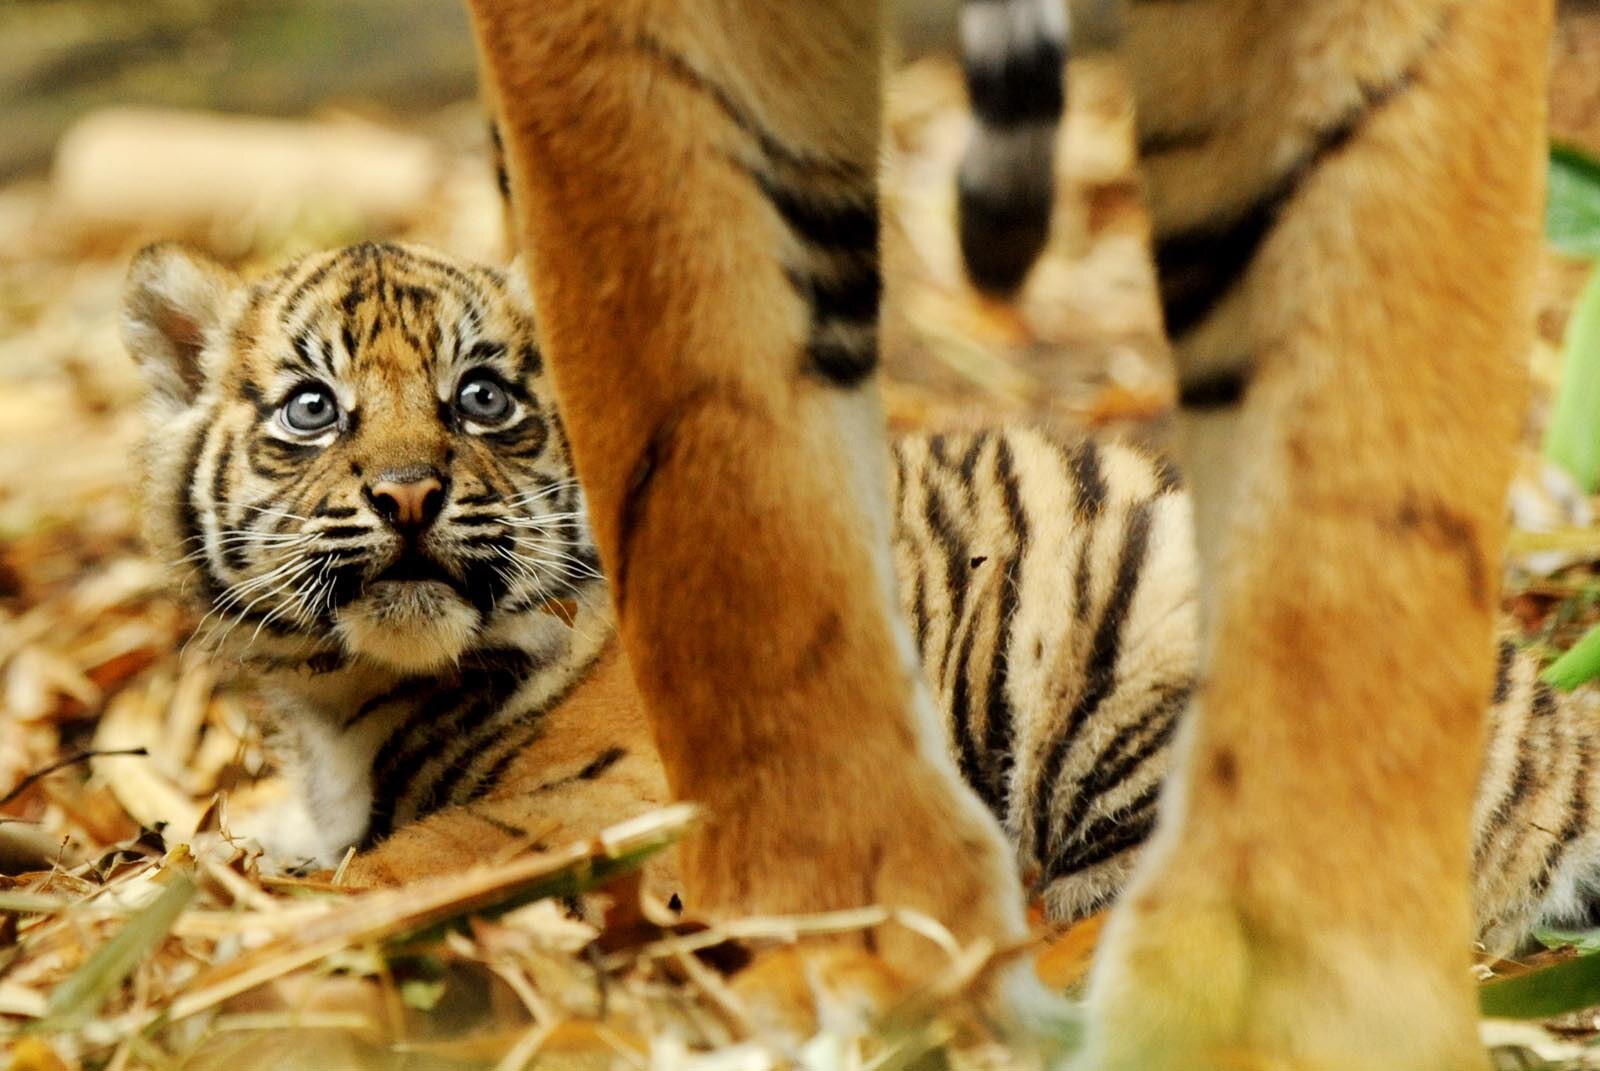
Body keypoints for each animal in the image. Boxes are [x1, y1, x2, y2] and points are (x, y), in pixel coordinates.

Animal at [122, 240, 1594, 958]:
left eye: (482, 397)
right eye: (313, 409)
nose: (410, 493)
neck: (360, 691)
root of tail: (1554, 731)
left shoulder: (627, 792)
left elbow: (441, 847)